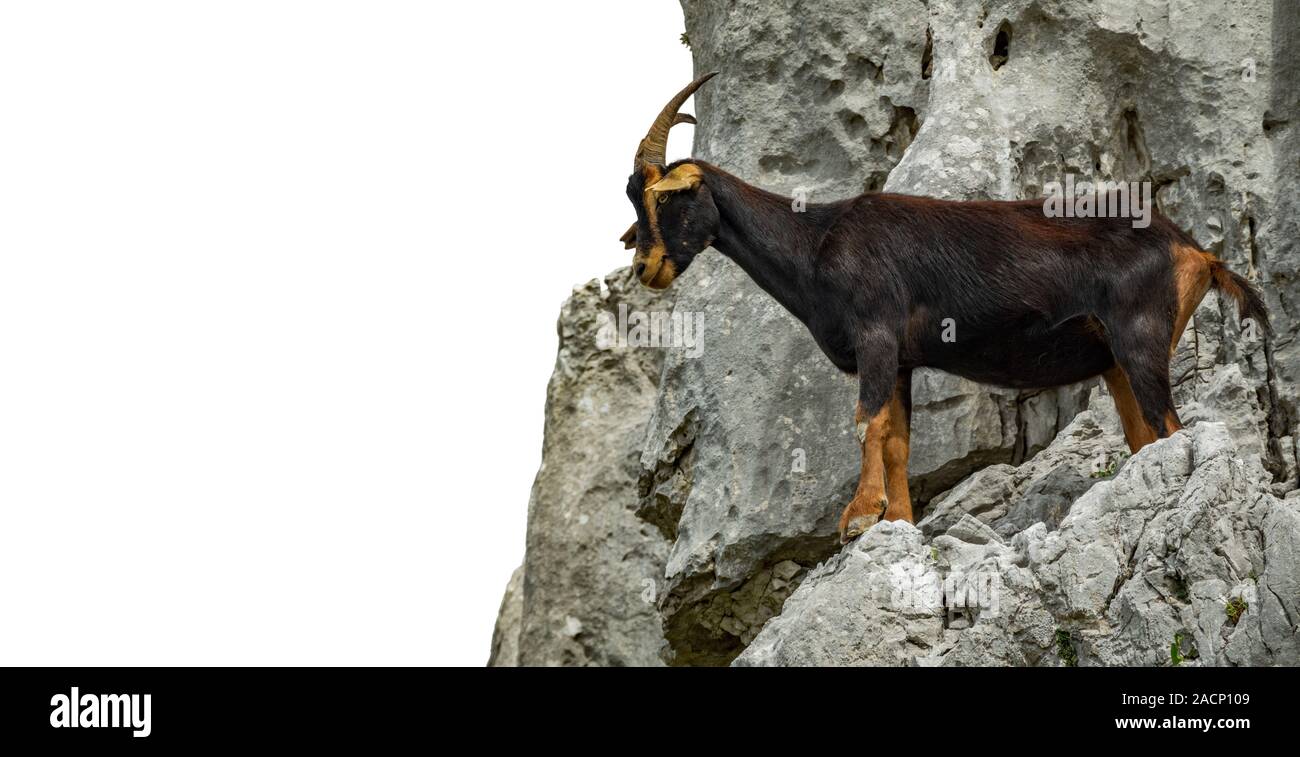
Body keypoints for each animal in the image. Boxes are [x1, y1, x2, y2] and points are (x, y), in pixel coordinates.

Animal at [622, 74, 1270, 543]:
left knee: (1171, 427)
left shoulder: (877, 336)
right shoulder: (902, 361)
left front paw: (858, 517)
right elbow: (897, 438)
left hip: (1141, 340)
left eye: (670, 196)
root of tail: (1195, 251)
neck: (819, 240)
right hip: (1115, 362)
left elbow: (867, 422)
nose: (645, 267)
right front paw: (897, 522)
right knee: (1149, 435)